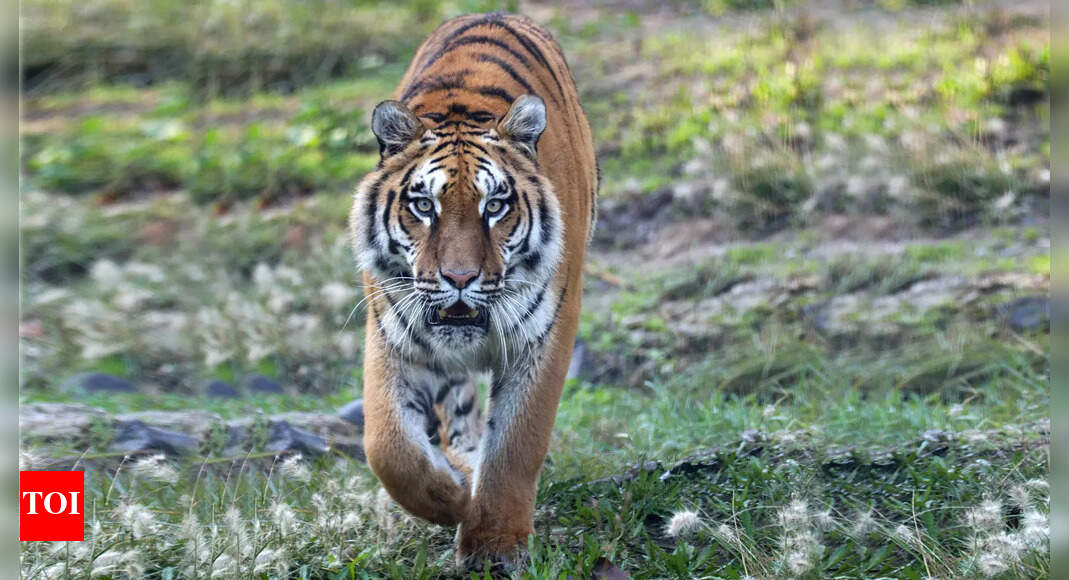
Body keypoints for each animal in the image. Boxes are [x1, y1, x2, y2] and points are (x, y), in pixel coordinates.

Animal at [348, 11, 597, 568]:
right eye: (424, 206)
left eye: (495, 206)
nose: (459, 279)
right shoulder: (391, 334)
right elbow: (388, 445)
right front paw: (454, 498)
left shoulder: (543, 337)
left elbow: (515, 445)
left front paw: (493, 546)